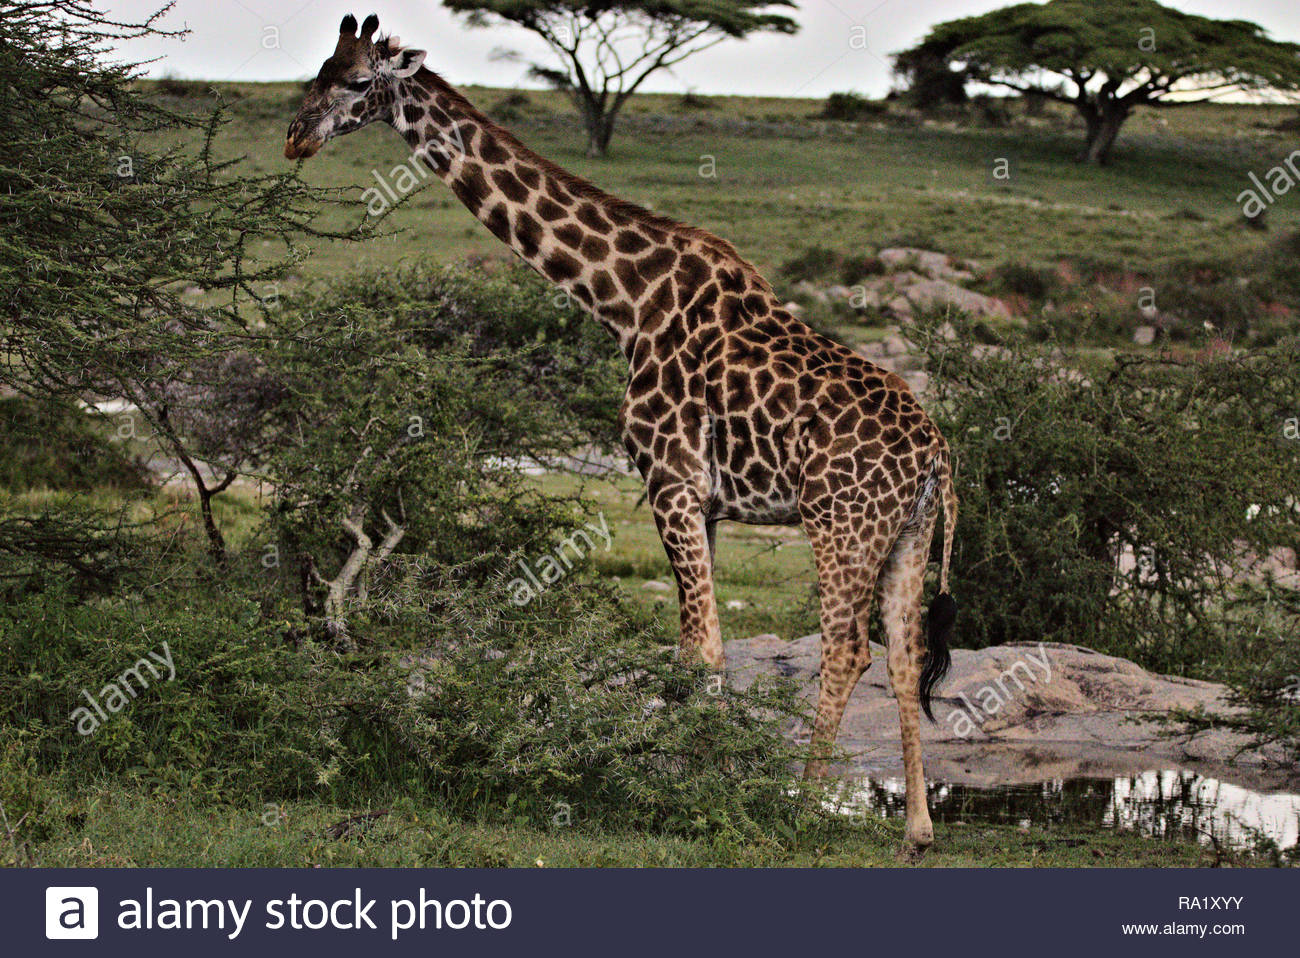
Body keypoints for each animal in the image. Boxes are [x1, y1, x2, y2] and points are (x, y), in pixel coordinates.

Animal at [286, 13, 958, 849]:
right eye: (316, 70)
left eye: (354, 81)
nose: (296, 137)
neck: (624, 301)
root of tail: (937, 455)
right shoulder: (706, 503)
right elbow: (694, 649)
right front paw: (700, 778)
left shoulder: (670, 479)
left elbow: (700, 651)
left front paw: (700, 793)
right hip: (908, 535)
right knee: (903, 653)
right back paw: (919, 827)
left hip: (840, 523)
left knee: (845, 648)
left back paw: (801, 808)